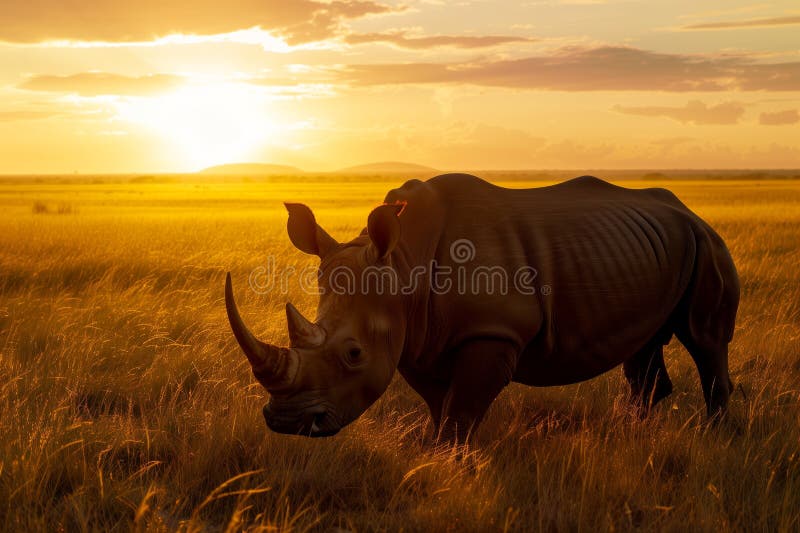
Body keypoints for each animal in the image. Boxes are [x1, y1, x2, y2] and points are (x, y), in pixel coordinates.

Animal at [225, 174, 739, 442]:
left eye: (353, 354)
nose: (287, 423)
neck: (403, 265)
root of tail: (690, 211)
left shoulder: (494, 332)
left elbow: (462, 411)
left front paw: (454, 466)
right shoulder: (417, 340)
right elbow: (442, 408)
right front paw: (440, 459)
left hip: (708, 243)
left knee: (705, 341)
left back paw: (713, 439)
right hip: (651, 248)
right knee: (643, 347)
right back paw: (631, 434)